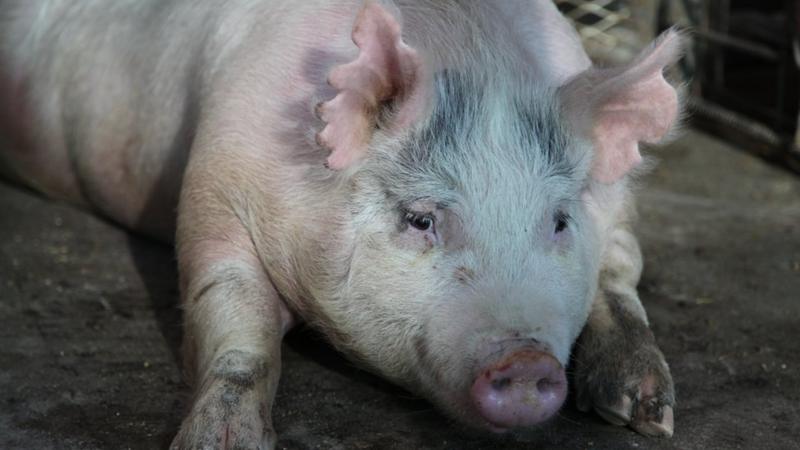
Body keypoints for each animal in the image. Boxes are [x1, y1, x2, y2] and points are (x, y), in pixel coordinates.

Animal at [0, 0, 682, 448]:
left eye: (560, 221)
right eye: (421, 219)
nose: (525, 361)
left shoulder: (619, 213)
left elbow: (620, 275)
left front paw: (649, 415)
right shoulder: (216, 182)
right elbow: (235, 319)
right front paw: (221, 443)